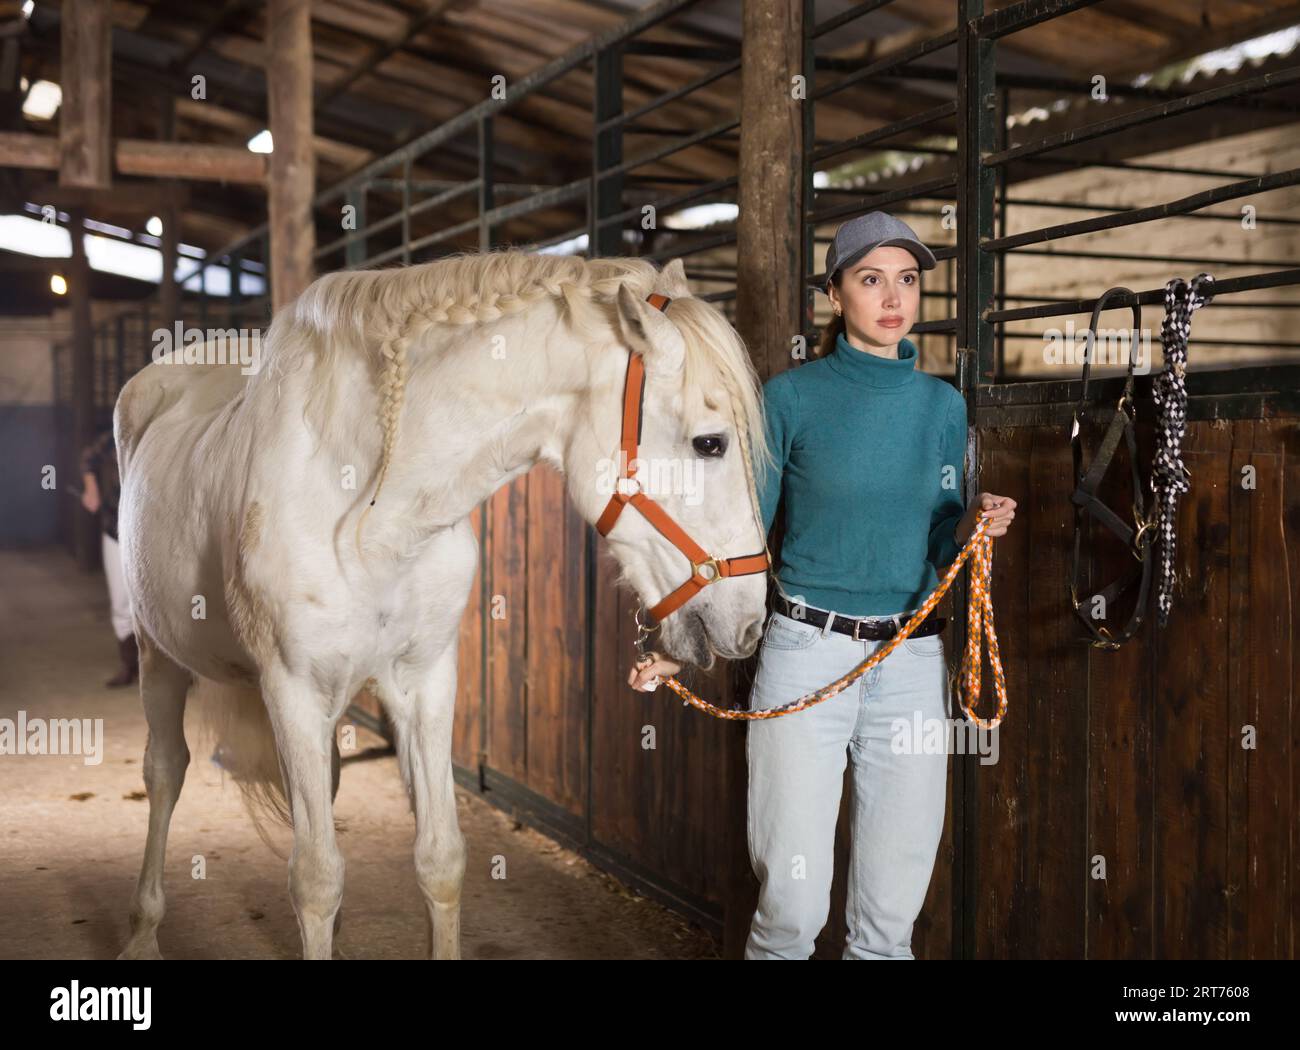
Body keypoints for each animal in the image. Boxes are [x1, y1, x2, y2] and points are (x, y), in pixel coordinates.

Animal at [113, 250, 774, 959]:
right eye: (710, 443)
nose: (750, 622)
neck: (369, 508)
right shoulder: (291, 690)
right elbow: (315, 877)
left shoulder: (424, 680)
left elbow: (440, 859)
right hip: (158, 655)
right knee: (165, 771)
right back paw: (143, 929)